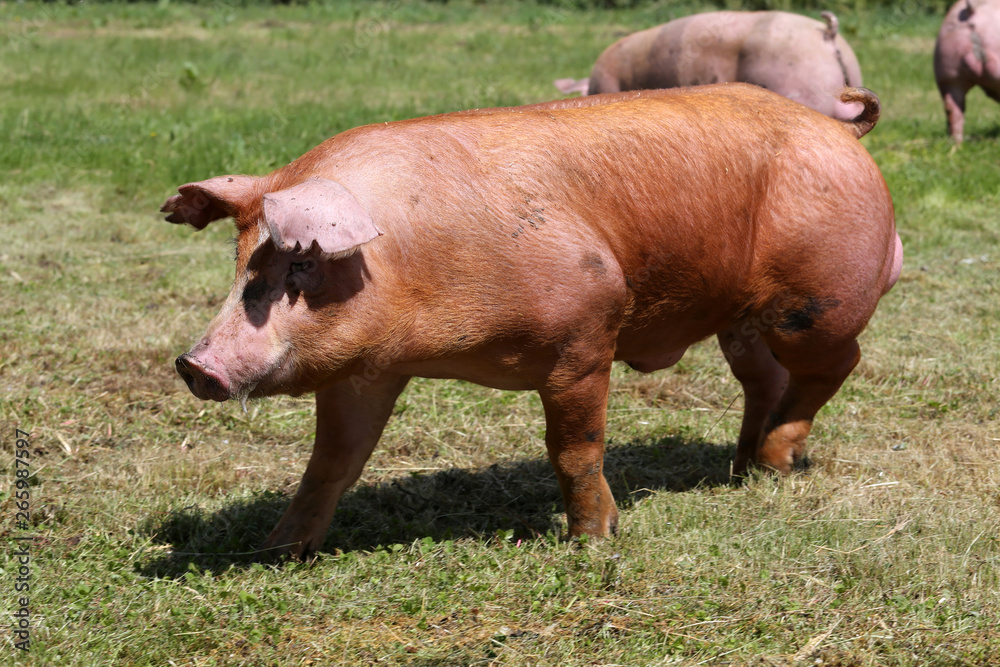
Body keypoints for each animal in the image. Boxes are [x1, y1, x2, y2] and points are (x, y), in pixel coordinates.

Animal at [162, 83, 902, 559]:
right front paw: (276, 550)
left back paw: (778, 461)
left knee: (840, 364)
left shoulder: (586, 333)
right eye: (239, 263)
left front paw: (593, 541)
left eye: (301, 264)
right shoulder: (362, 372)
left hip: (817, 300)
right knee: (764, 379)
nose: (194, 364)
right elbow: (332, 462)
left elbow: (575, 449)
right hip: (741, 318)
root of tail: (840, 127)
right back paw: (745, 468)